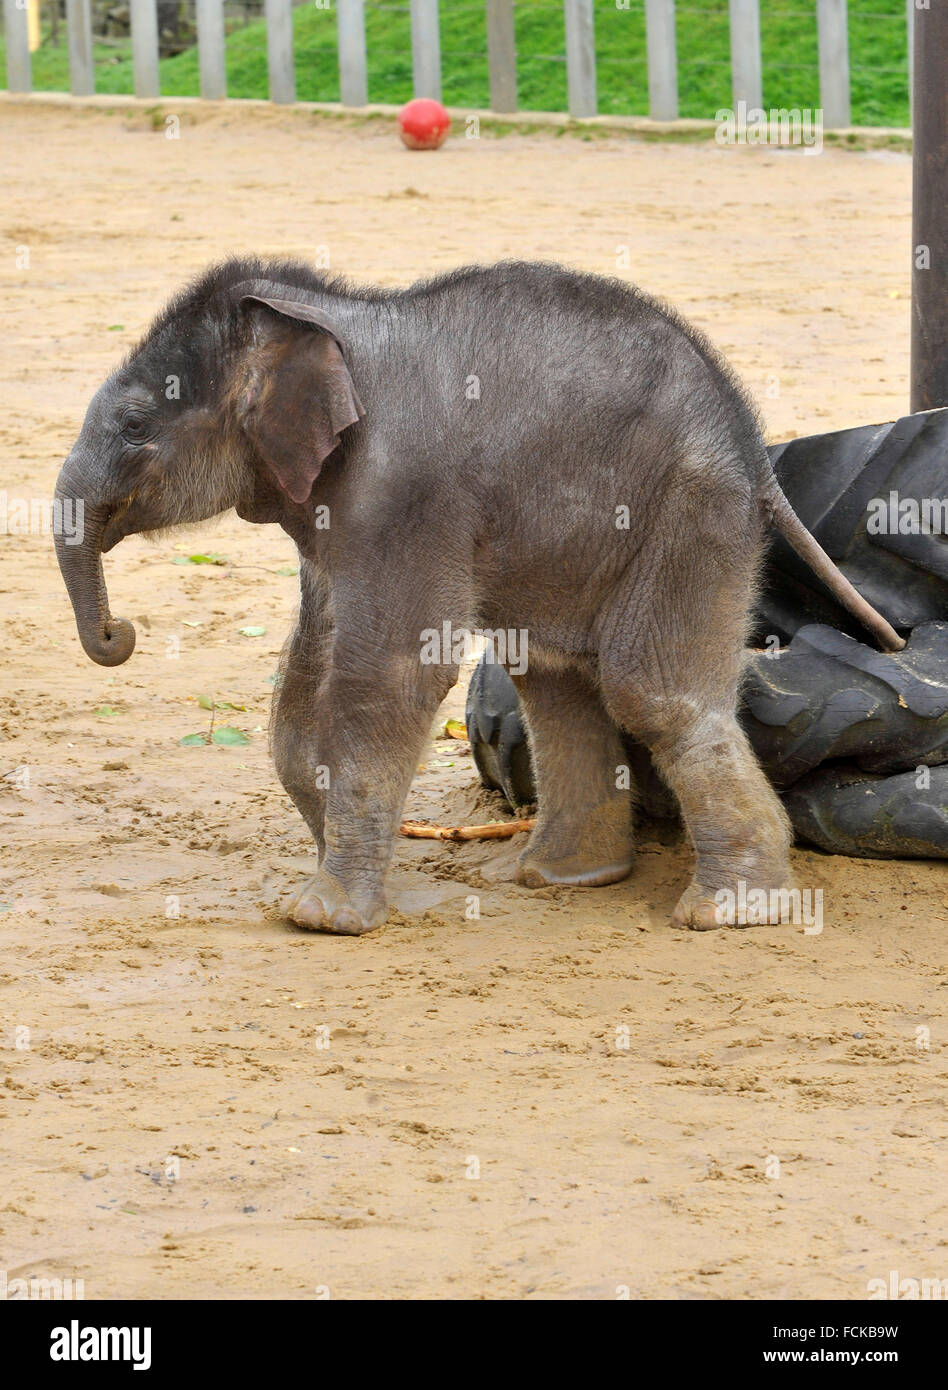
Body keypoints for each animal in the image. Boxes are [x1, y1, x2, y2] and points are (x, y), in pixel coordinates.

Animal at [54, 257, 903, 935]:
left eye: (135, 425)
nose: (120, 634)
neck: (323, 314)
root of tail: (756, 449)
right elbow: (305, 676)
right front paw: (321, 883)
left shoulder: (405, 493)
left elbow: (389, 675)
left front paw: (324, 919)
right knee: (554, 675)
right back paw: (553, 880)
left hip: (689, 511)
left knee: (649, 691)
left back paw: (727, 912)